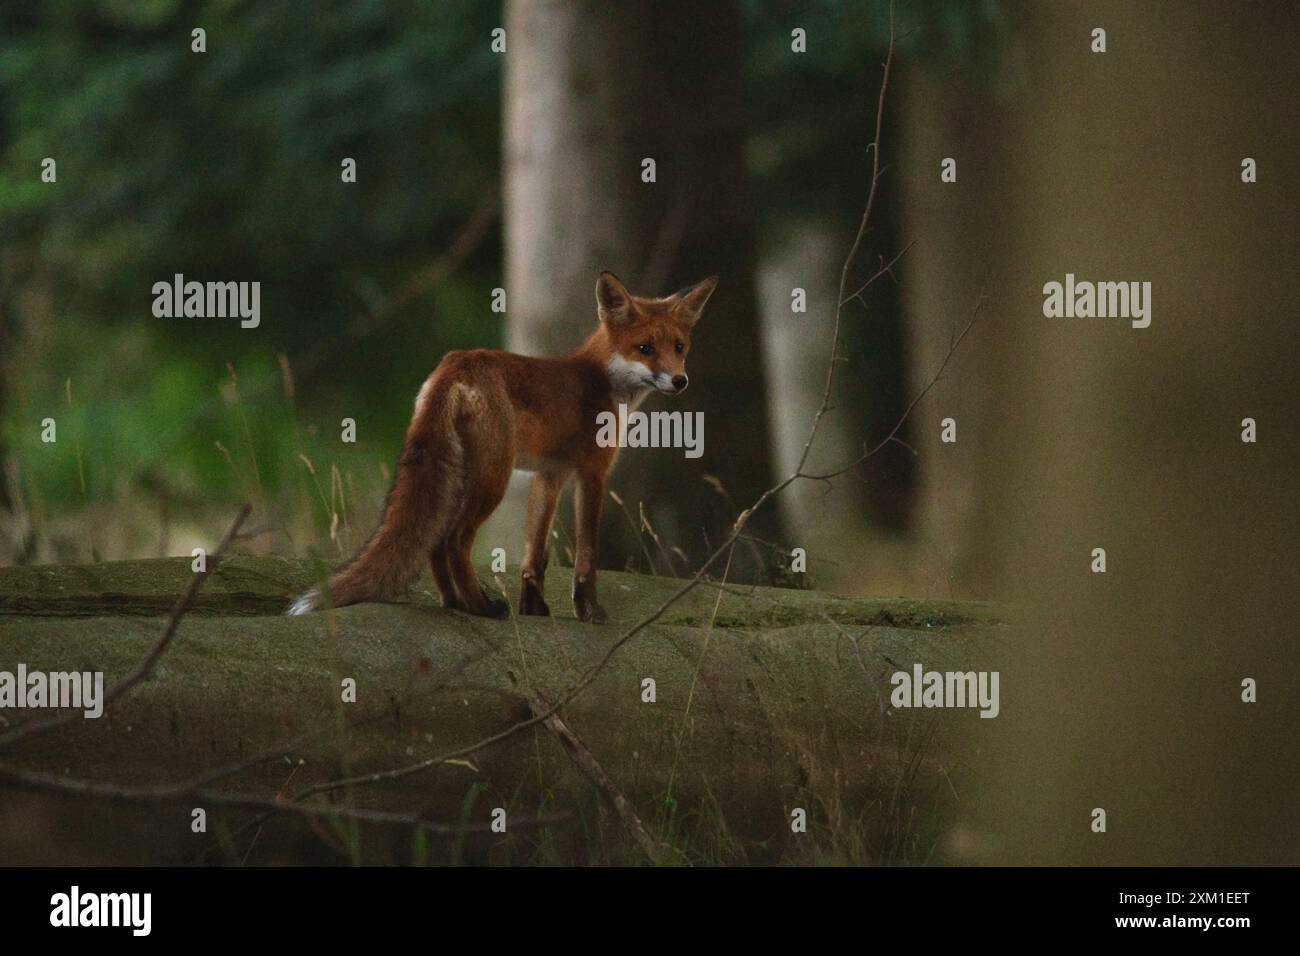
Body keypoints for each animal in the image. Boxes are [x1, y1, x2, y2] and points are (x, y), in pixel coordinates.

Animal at [287, 271, 717, 623]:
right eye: (645, 349)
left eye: (679, 347)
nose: (679, 381)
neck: (603, 380)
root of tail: (455, 363)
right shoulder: (592, 473)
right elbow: (587, 554)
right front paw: (588, 611)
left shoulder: (550, 475)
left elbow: (533, 555)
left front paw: (534, 609)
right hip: (494, 477)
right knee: (454, 540)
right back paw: (478, 606)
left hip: (462, 473)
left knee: (435, 543)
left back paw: (455, 603)